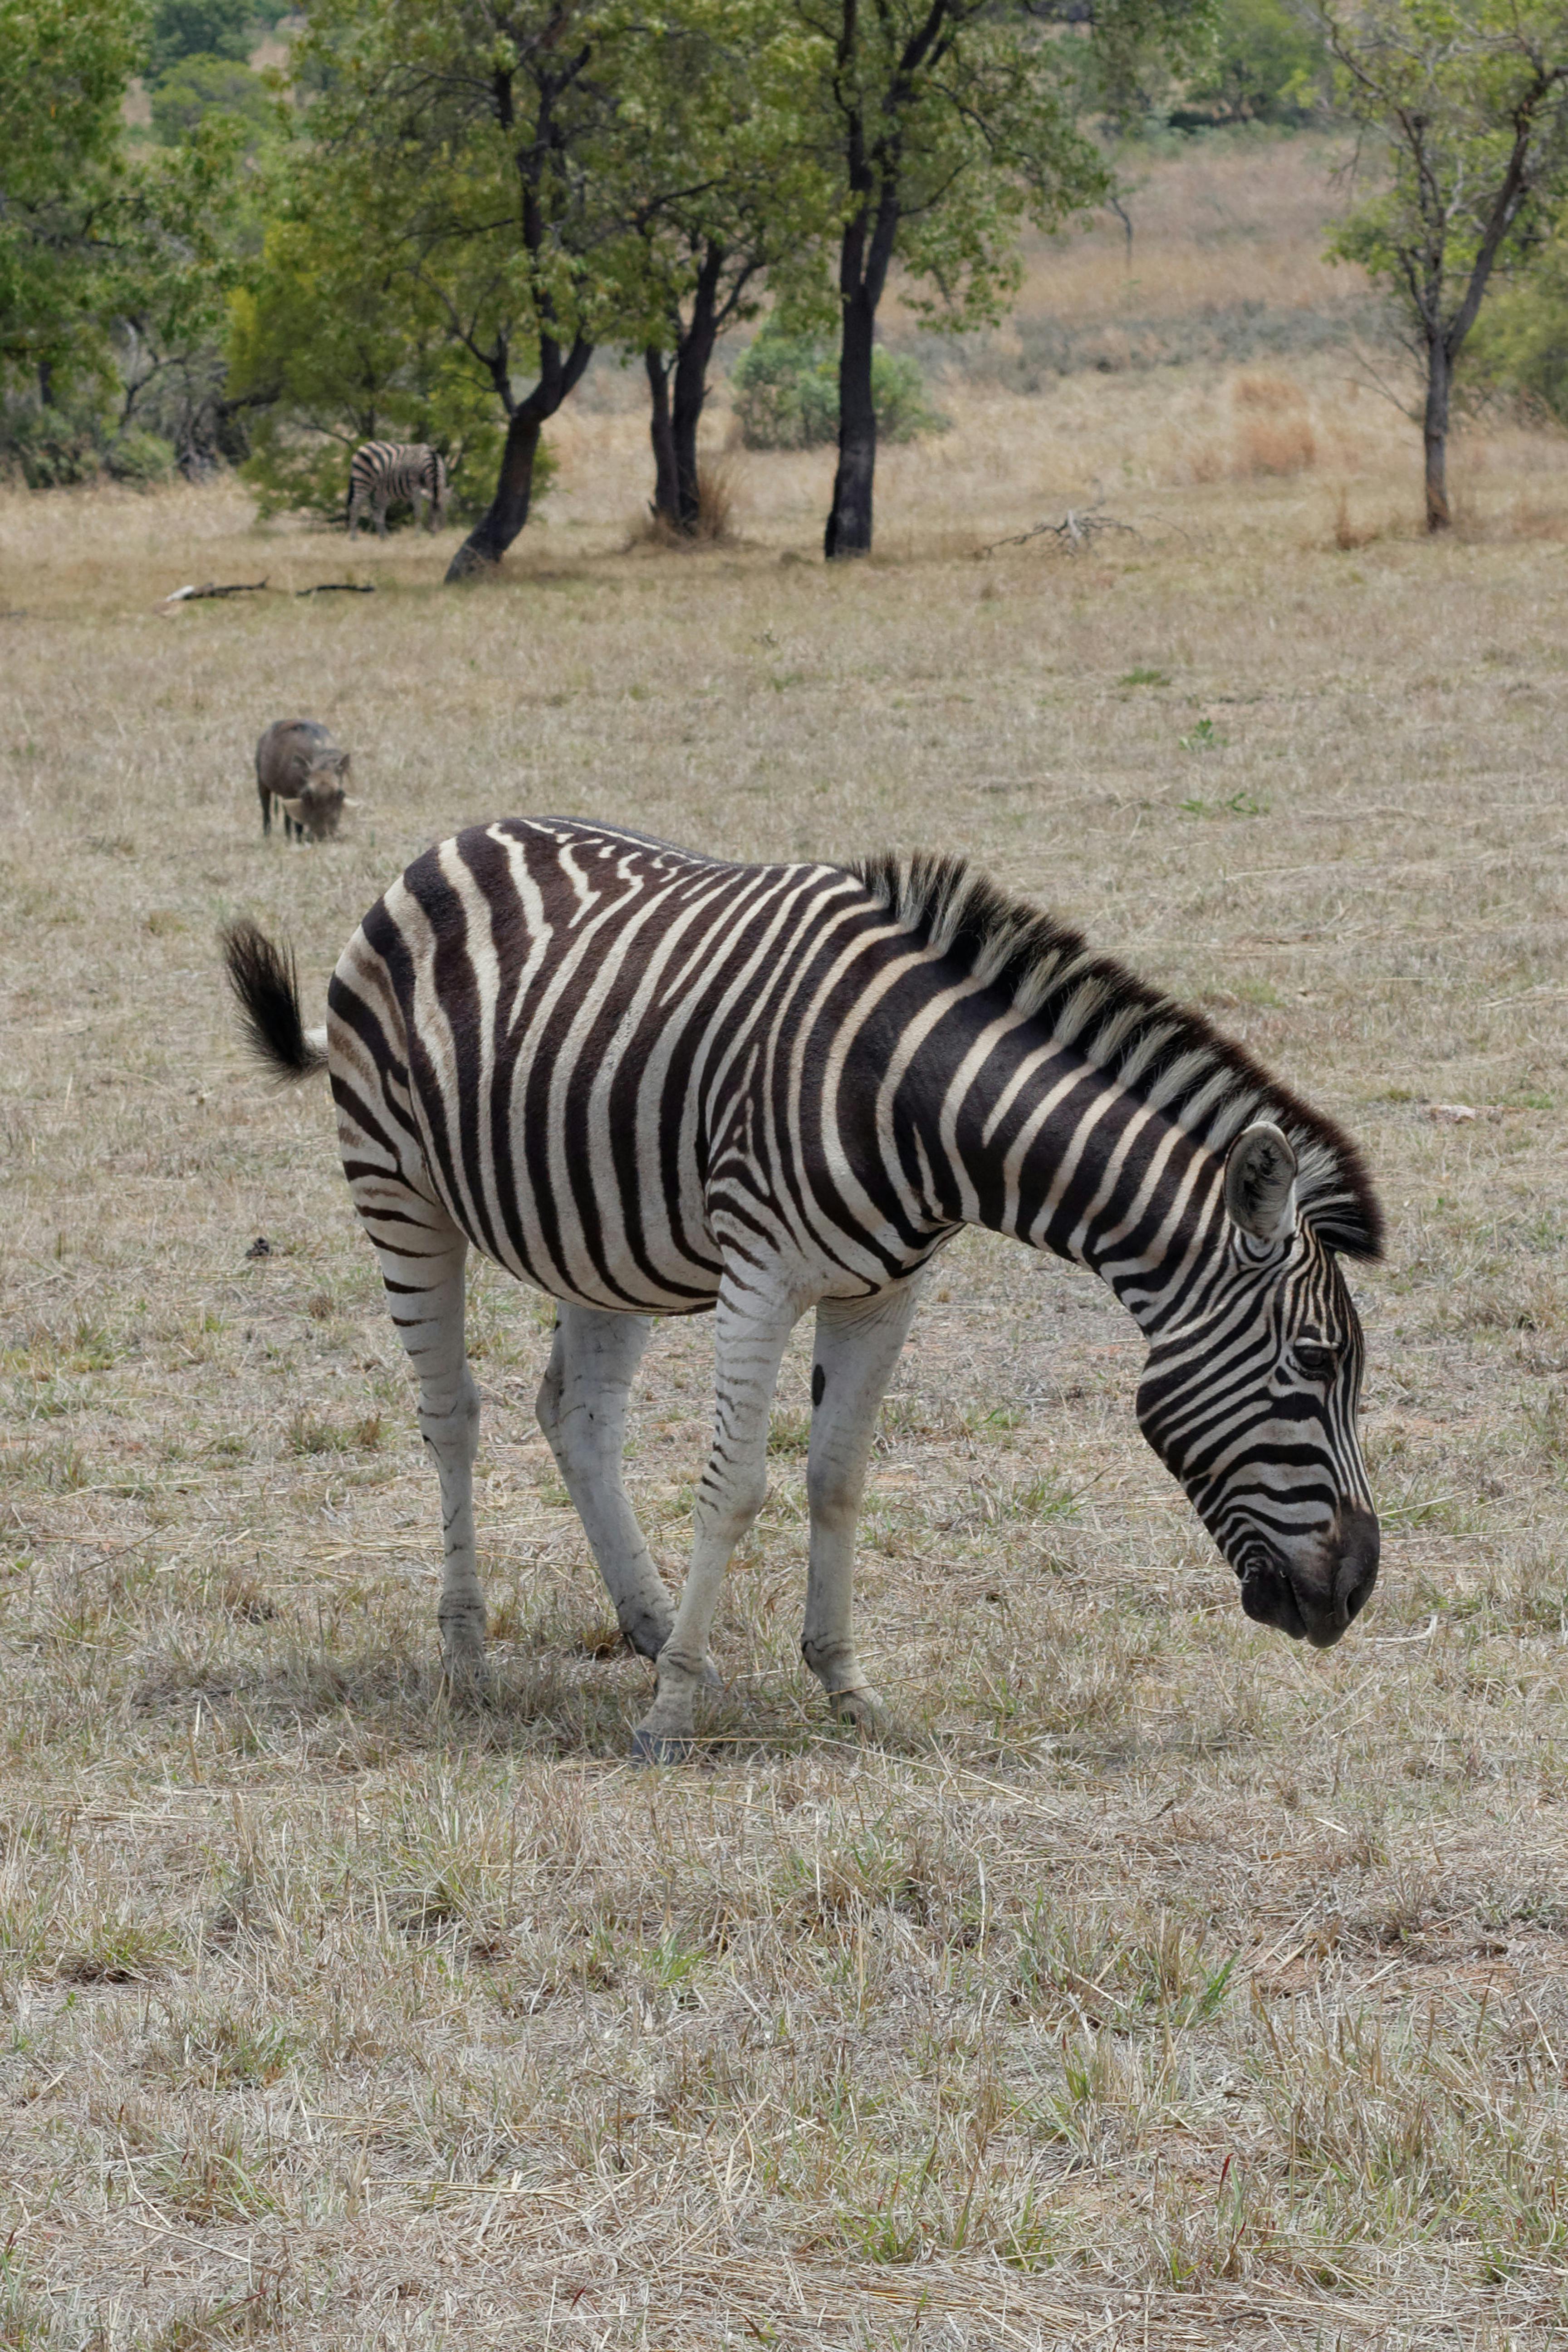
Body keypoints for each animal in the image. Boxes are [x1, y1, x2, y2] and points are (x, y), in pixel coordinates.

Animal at [221, 818, 1384, 1762]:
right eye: (1315, 1365)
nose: (1356, 1591)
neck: (918, 1101)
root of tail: (443, 845)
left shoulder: (883, 1292)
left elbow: (838, 1479)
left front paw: (843, 1684)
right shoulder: (762, 1276)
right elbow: (734, 1489)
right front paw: (671, 1716)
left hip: (599, 1238)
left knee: (578, 1416)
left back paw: (649, 1624)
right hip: (399, 1189)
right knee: (452, 1415)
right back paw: (469, 1658)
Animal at [346, 441, 448, 538]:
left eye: (441, 513)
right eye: (430, 515)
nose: (435, 534)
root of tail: (363, 447)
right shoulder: (416, 489)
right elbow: (418, 513)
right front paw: (417, 536)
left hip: (380, 490)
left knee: (378, 511)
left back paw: (384, 537)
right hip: (362, 481)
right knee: (355, 505)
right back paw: (354, 536)